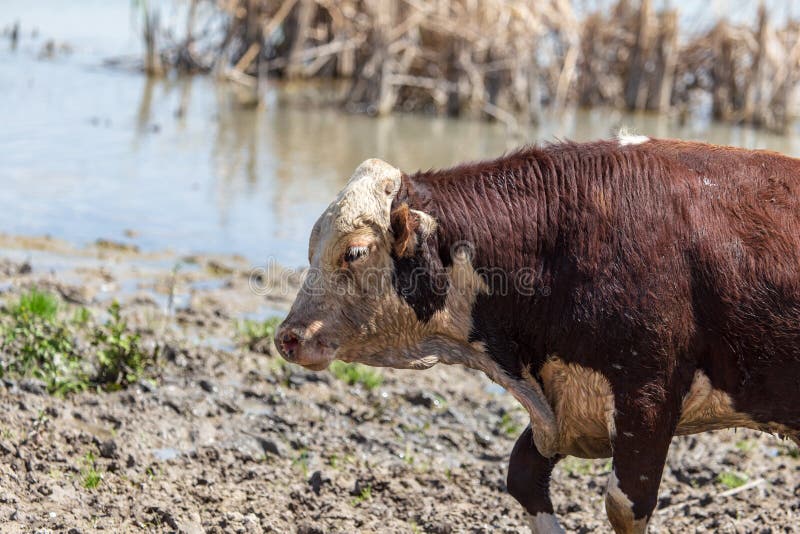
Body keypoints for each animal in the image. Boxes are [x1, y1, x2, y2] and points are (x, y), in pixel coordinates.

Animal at [274, 135, 800, 533]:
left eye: (355, 252)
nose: (288, 337)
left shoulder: (648, 396)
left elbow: (624, 504)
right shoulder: (563, 404)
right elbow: (523, 475)